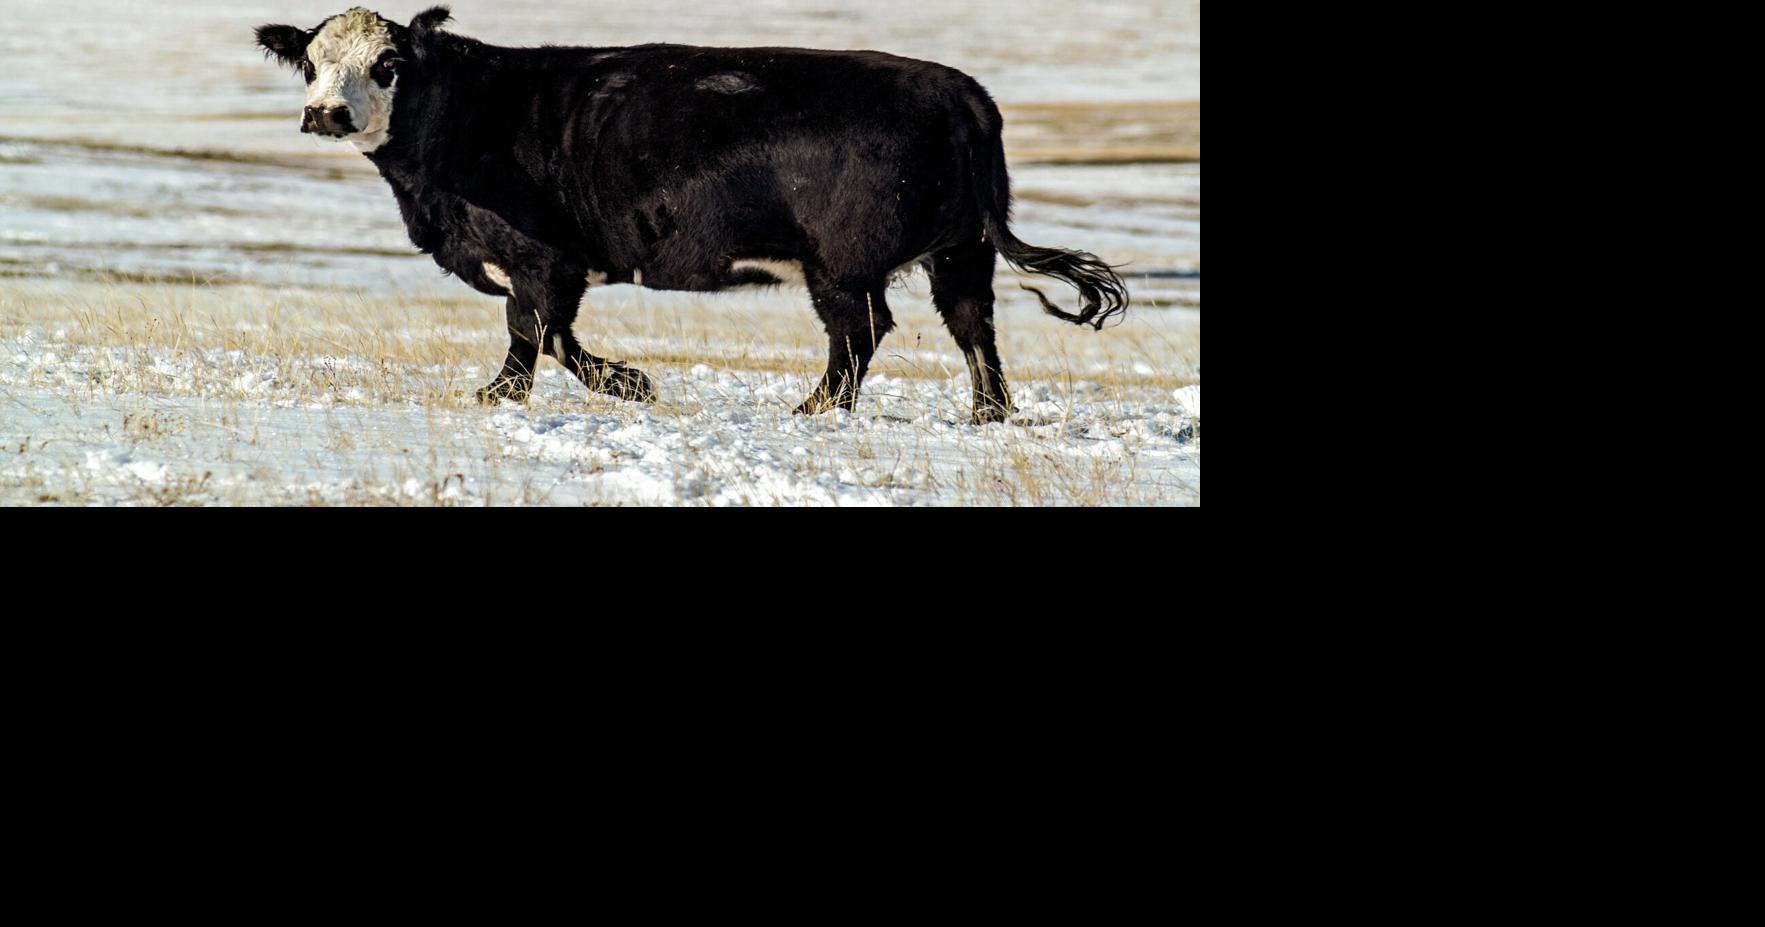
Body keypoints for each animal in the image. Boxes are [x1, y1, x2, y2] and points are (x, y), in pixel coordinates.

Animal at [254, 6, 1127, 423]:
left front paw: (541, 392)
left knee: (861, 331)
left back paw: (814, 407)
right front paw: (614, 382)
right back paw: (987, 414)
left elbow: (534, 330)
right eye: (310, 61)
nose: (325, 114)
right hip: (960, 250)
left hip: (841, 264)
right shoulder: (552, 262)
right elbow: (551, 332)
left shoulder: (540, 257)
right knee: (971, 325)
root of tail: (961, 91)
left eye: (388, 63)